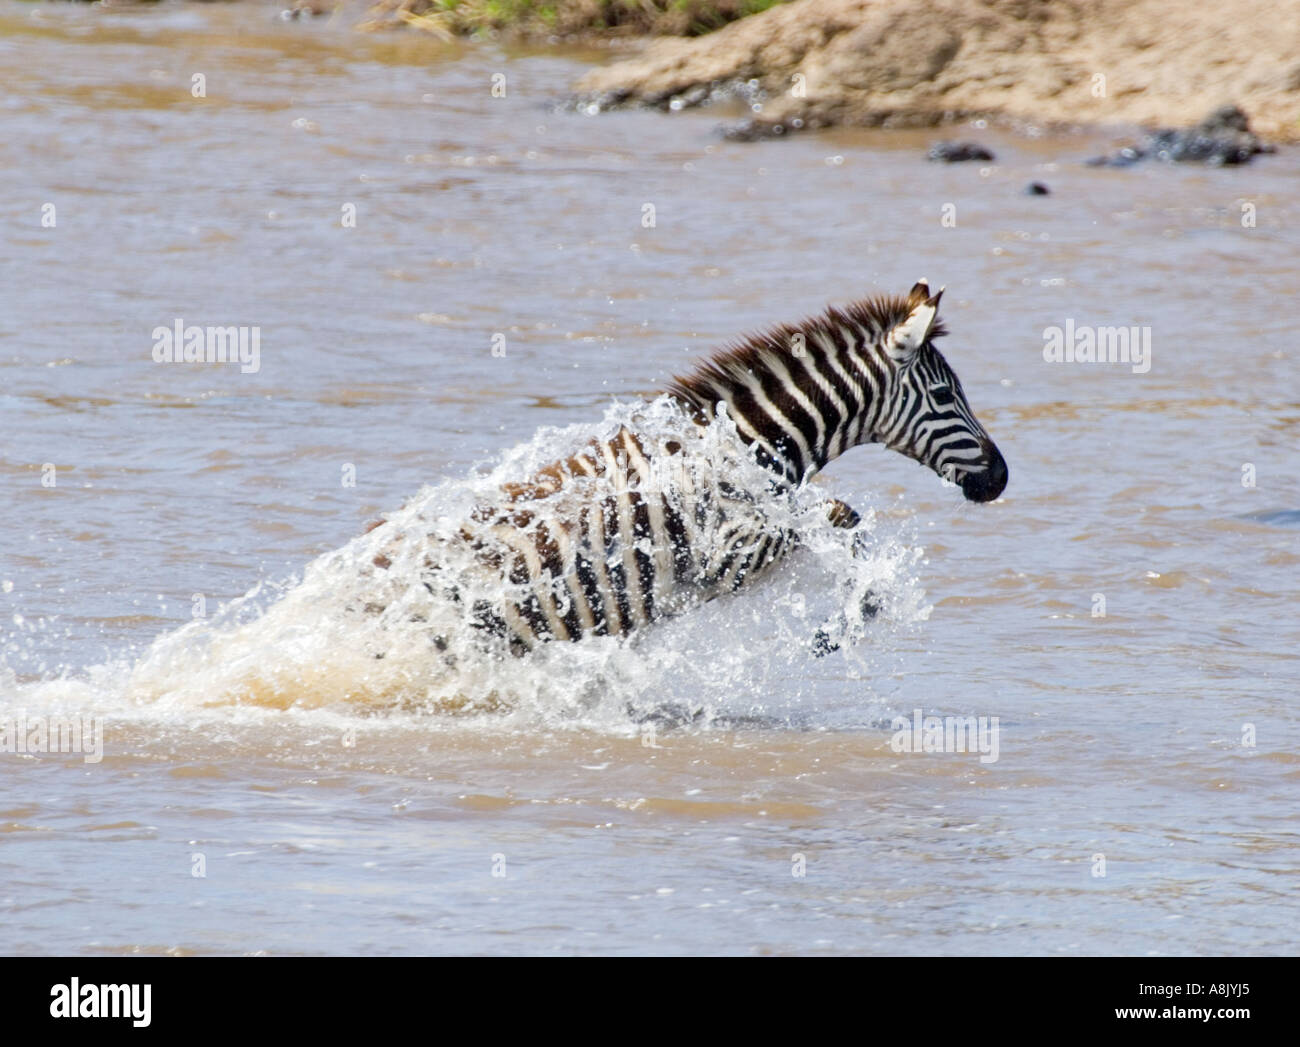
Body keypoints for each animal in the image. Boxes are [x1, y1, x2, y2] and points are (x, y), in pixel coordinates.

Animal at [363, 279, 1007, 658]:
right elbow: (838, 518)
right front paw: (842, 626)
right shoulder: (724, 554)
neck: (744, 444)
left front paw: (847, 621)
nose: (1001, 478)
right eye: (945, 397)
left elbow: (843, 523)